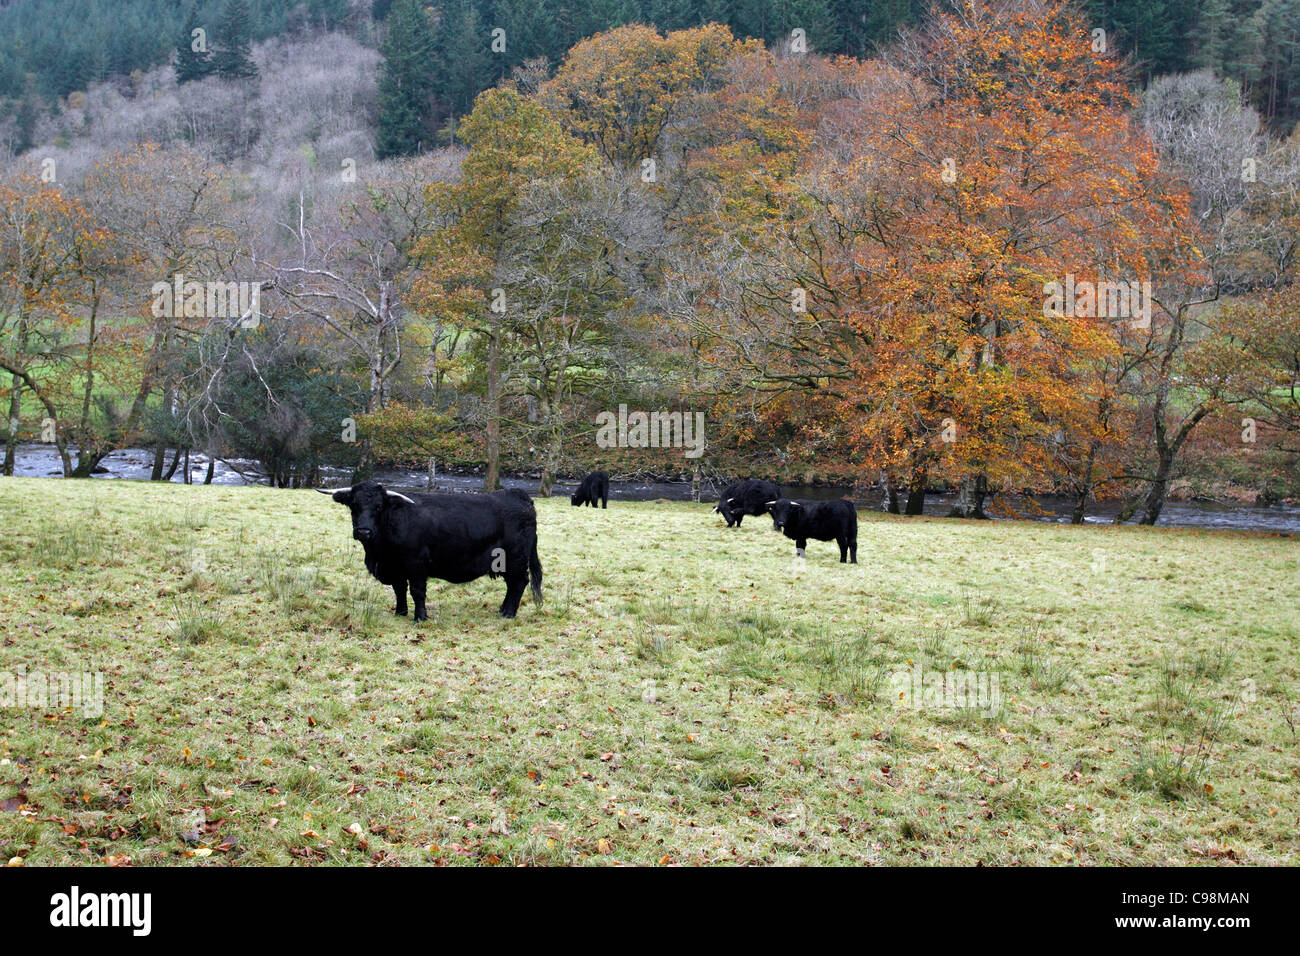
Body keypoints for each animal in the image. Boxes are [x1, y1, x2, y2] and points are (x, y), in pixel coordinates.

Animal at [318, 480, 543, 620]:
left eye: (379, 506)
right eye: (354, 505)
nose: (364, 531)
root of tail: (519, 495)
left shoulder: (416, 563)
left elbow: (417, 591)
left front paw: (420, 617)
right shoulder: (395, 567)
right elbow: (399, 590)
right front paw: (400, 613)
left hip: (515, 559)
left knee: (519, 583)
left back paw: (508, 614)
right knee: (512, 585)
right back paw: (502, 609)